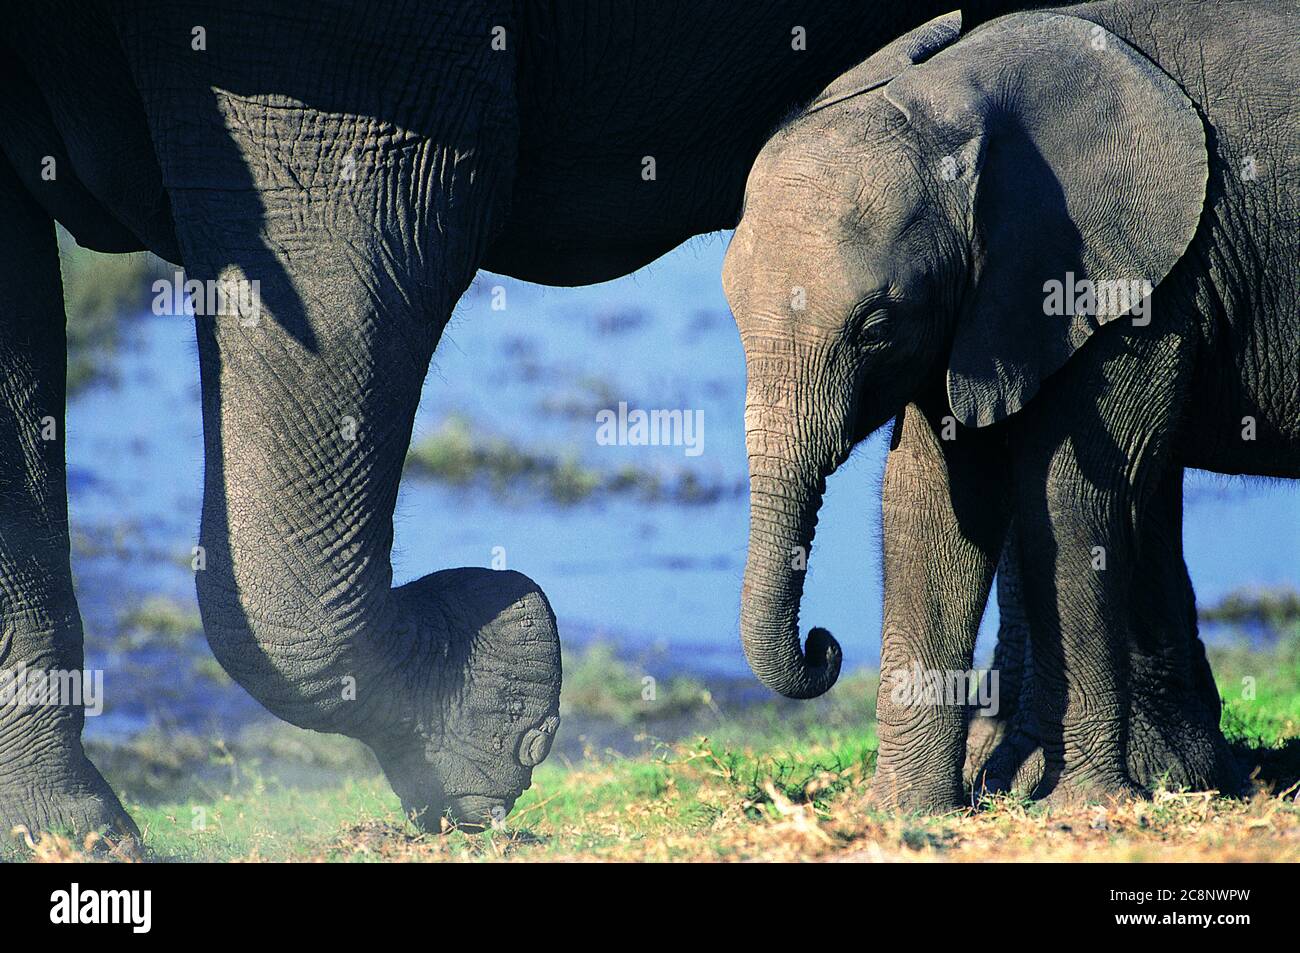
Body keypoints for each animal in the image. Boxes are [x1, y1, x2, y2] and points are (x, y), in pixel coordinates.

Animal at [722, 2, 1299, 810]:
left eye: (876, 326)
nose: (823, 645)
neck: (954, 96)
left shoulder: (1141, 280)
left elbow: (1069, 495)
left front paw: (1082, 805)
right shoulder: (982, 305)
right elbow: (932, 504)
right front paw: (905, 811)